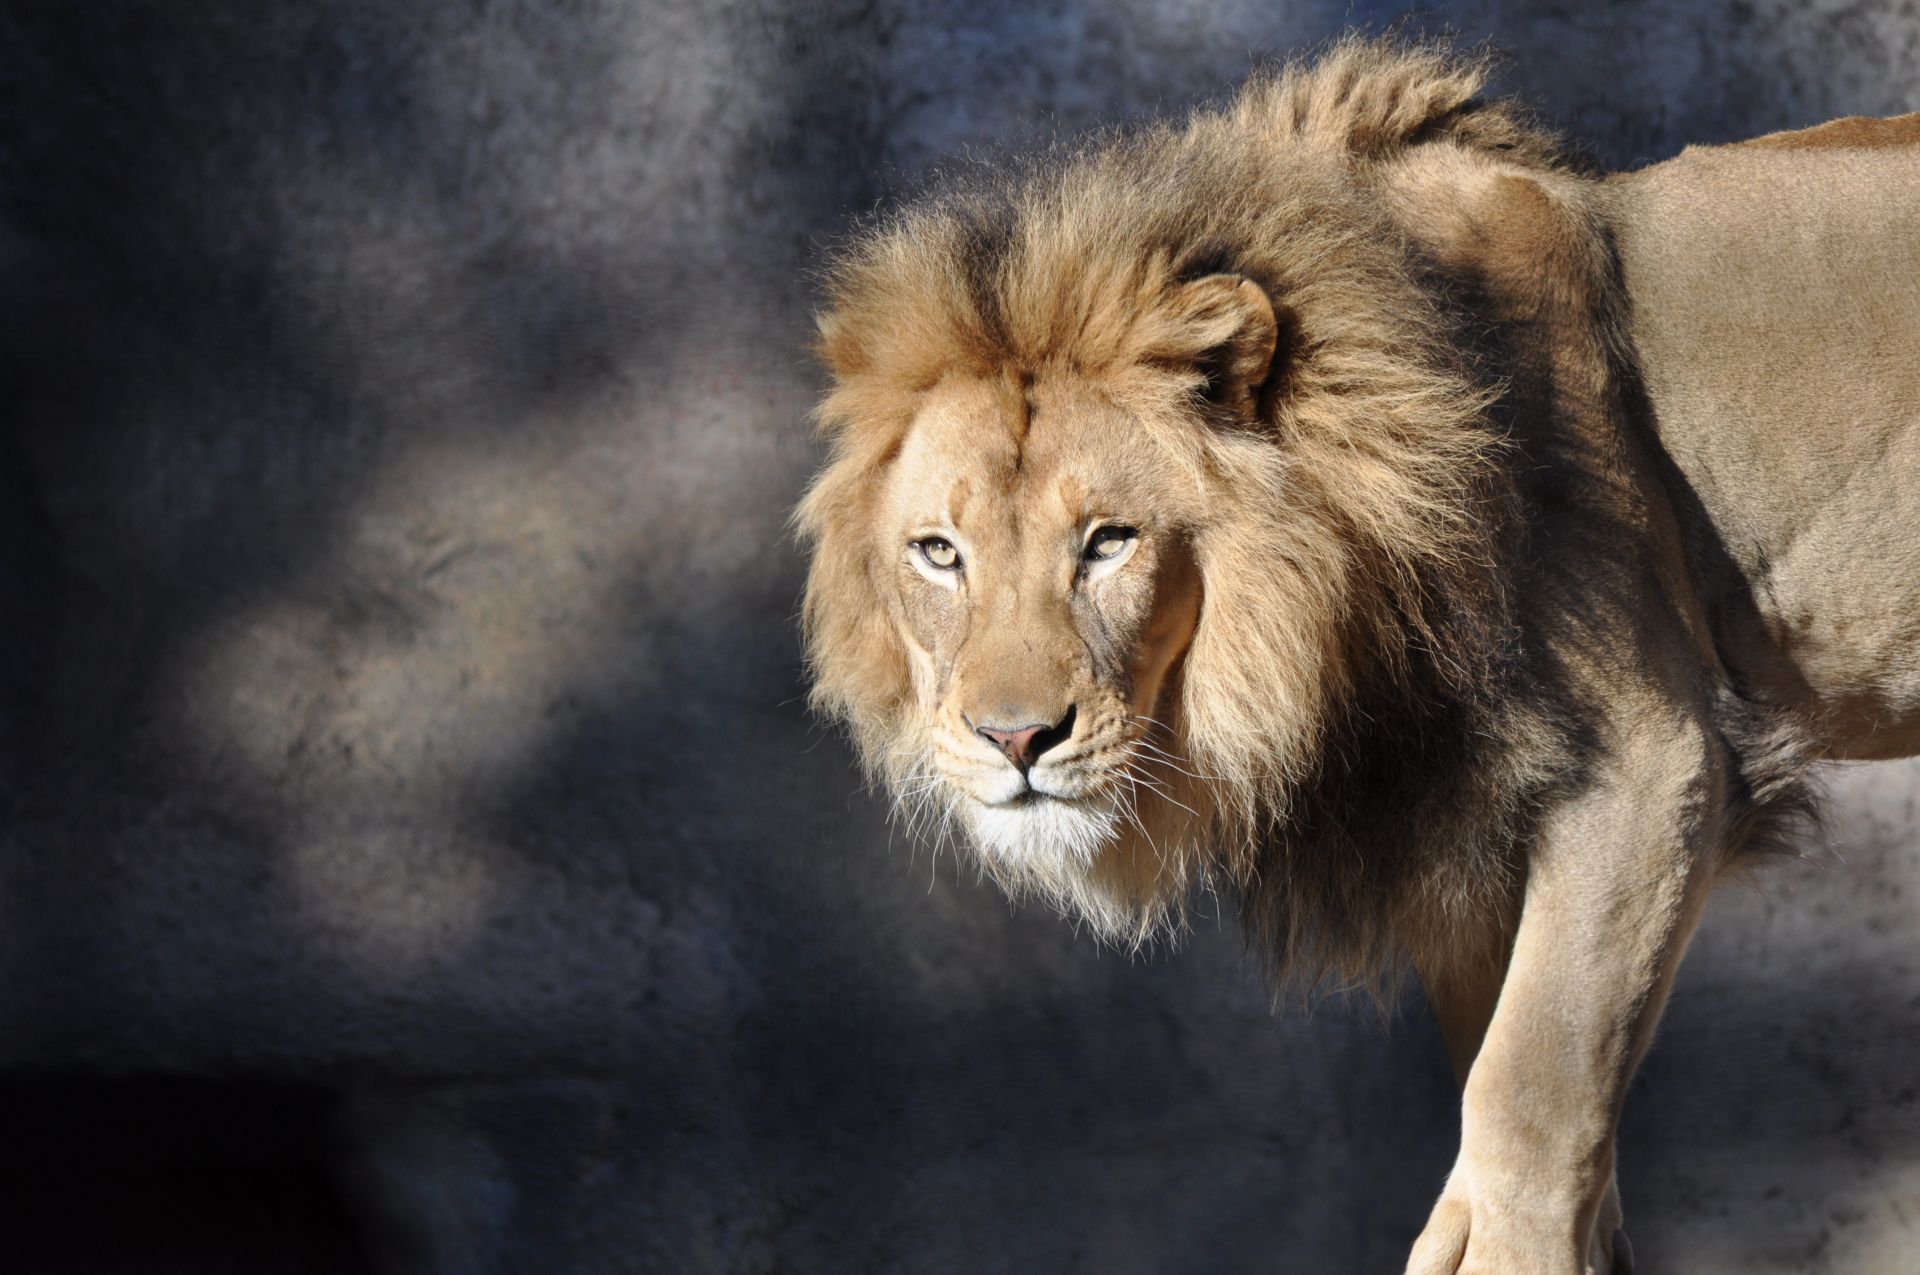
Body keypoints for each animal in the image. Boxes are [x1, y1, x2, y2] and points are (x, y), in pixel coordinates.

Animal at [794, 36, 1920, 1275]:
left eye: (1108, 542)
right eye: (939, 554)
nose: (1015, 738)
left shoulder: (1651, 765)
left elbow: (1524, 1106)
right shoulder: (1483, 826)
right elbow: (1546, 1129)